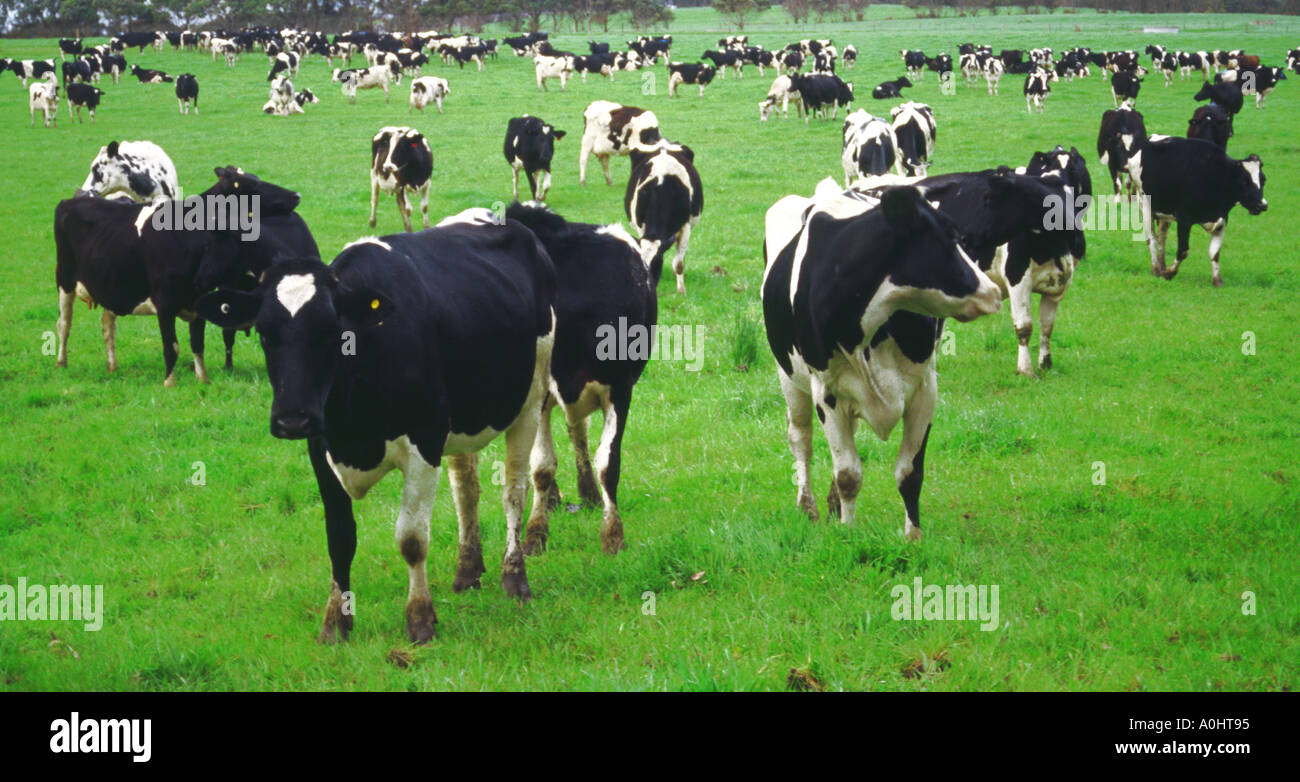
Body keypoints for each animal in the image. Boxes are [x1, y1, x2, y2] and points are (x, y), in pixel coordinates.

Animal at [55, 168, 319, 385]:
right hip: (64, 280)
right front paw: (169, 382)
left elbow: (197, 344)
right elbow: (171, 346)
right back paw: (61, 363)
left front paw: (203, 380)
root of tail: (78, 197)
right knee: (64, 324)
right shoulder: (164, 303)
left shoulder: (199, 300)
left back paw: (112, 366)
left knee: (108, 326)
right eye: (253, 186)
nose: (296, 195)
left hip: (111, 286)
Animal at [504, 203, 658, 555]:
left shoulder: (620, 388)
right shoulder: (539, 395)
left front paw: (613, 535)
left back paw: (588, 494)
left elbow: (608, 463)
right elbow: (542, 466)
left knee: (579, 434)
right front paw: (535, 533)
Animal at [625, 139, 703, 295]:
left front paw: (681, 290)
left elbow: (679, 263)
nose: (648, 284)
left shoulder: (685, 227)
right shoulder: (641, 227)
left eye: (657, 261)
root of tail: (662, 143)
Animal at [762, 183, 1001, 536]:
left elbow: (909, 472)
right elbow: (848, 474)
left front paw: (912, 536)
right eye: (950, 238)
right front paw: (849, 533)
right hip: (789, 376)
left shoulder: (924, 388)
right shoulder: (827, 393)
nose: (993, 293)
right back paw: (808, 506)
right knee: (800, 438)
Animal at [1128, 137, 1267, 287]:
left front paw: (1217, 281)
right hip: (1145, 202)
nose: (1262, 205)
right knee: (1151, 238)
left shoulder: (1222, 221)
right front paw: (1169, 273)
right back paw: (1156, 269)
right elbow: (1183, 251)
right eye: (1244, 182)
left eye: (1263, 180)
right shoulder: (1184, 220)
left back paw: (1162, 265)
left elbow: (1215, 253)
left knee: (1162, 237)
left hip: (1164, 211)